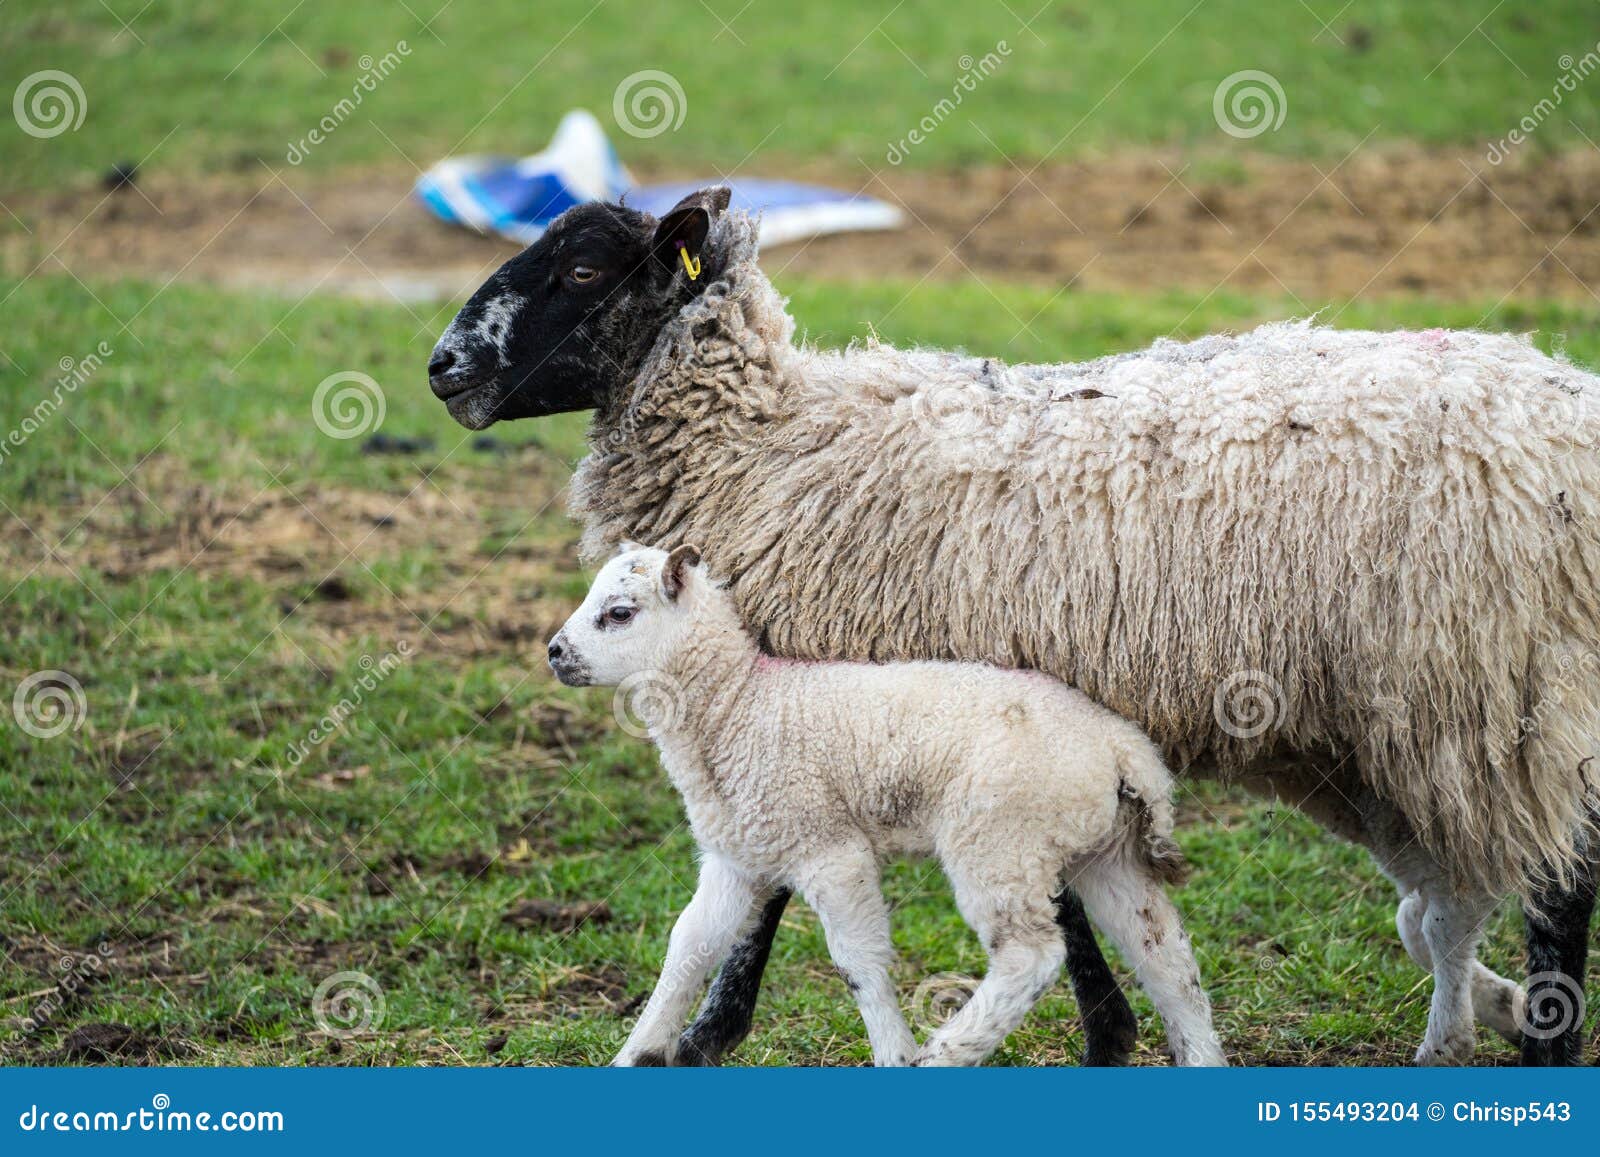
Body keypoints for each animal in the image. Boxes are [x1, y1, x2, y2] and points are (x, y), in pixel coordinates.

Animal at [546, 542, 1227, 1067]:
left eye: (619, 613)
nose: (554, 652)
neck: (739, 704)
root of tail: (1121, 748)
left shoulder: (828, 847)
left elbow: (858, 961)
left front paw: (895, 1053)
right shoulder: (739, 854)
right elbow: (687, 948)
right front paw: (637, 1054)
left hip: (999, 841)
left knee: (1031, 955)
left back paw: (944, 1053)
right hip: (1099, 848)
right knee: (1165, 953)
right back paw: (1202, 1058)